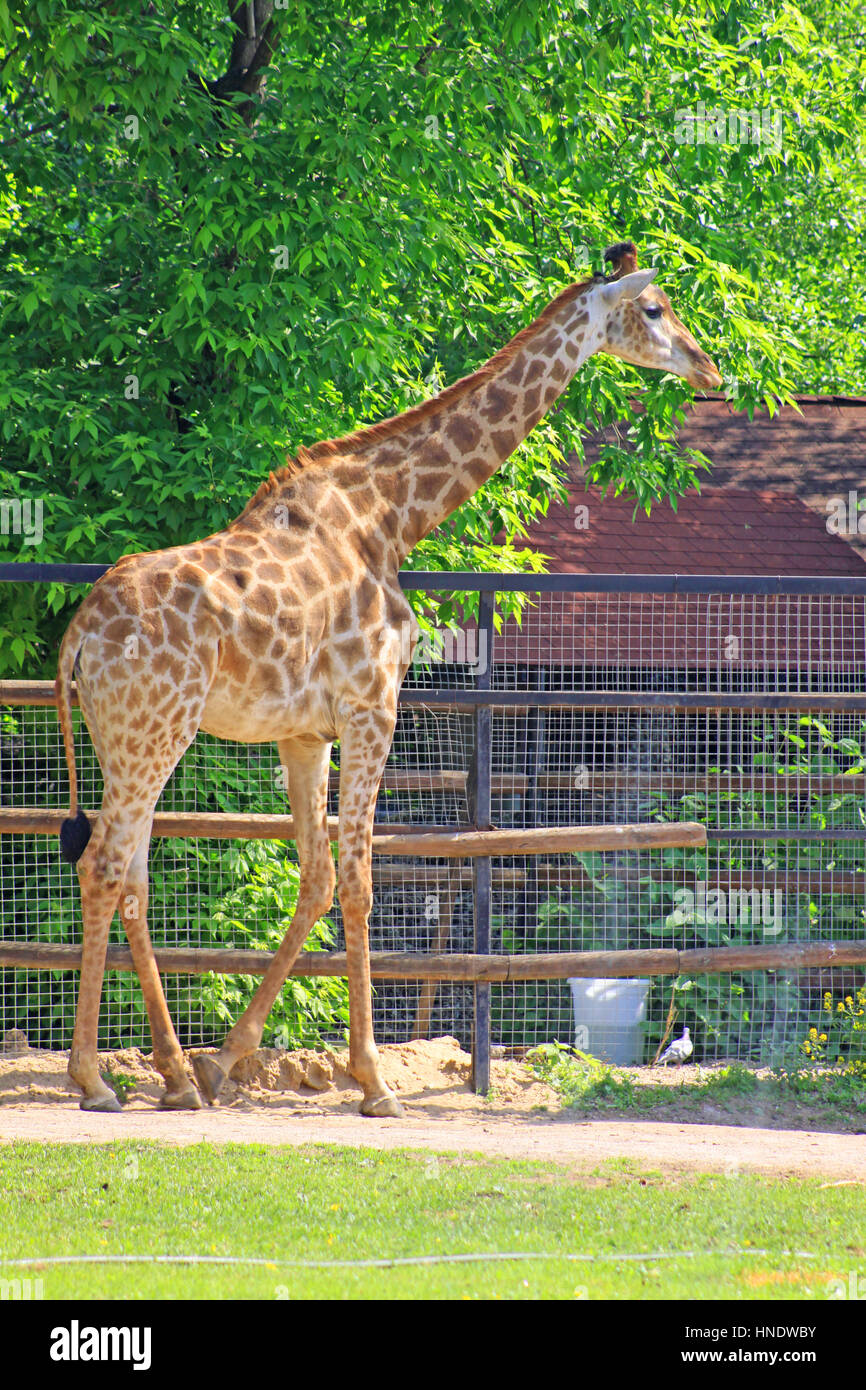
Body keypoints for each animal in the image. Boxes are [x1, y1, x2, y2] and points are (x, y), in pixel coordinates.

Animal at [55, 240, 722, 1115]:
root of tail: (79, 632)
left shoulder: (305, 732)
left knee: (127, 873)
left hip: (123, 737)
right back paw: (94, 1078)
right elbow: (361, 880)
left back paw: (171, 1074)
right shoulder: (375, 705)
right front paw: (372, 1081)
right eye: (653, 309)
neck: (391, 516)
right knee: (106, 866)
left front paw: (224, 1062)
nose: (710, 368)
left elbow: (315, 879)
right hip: (156, 730)